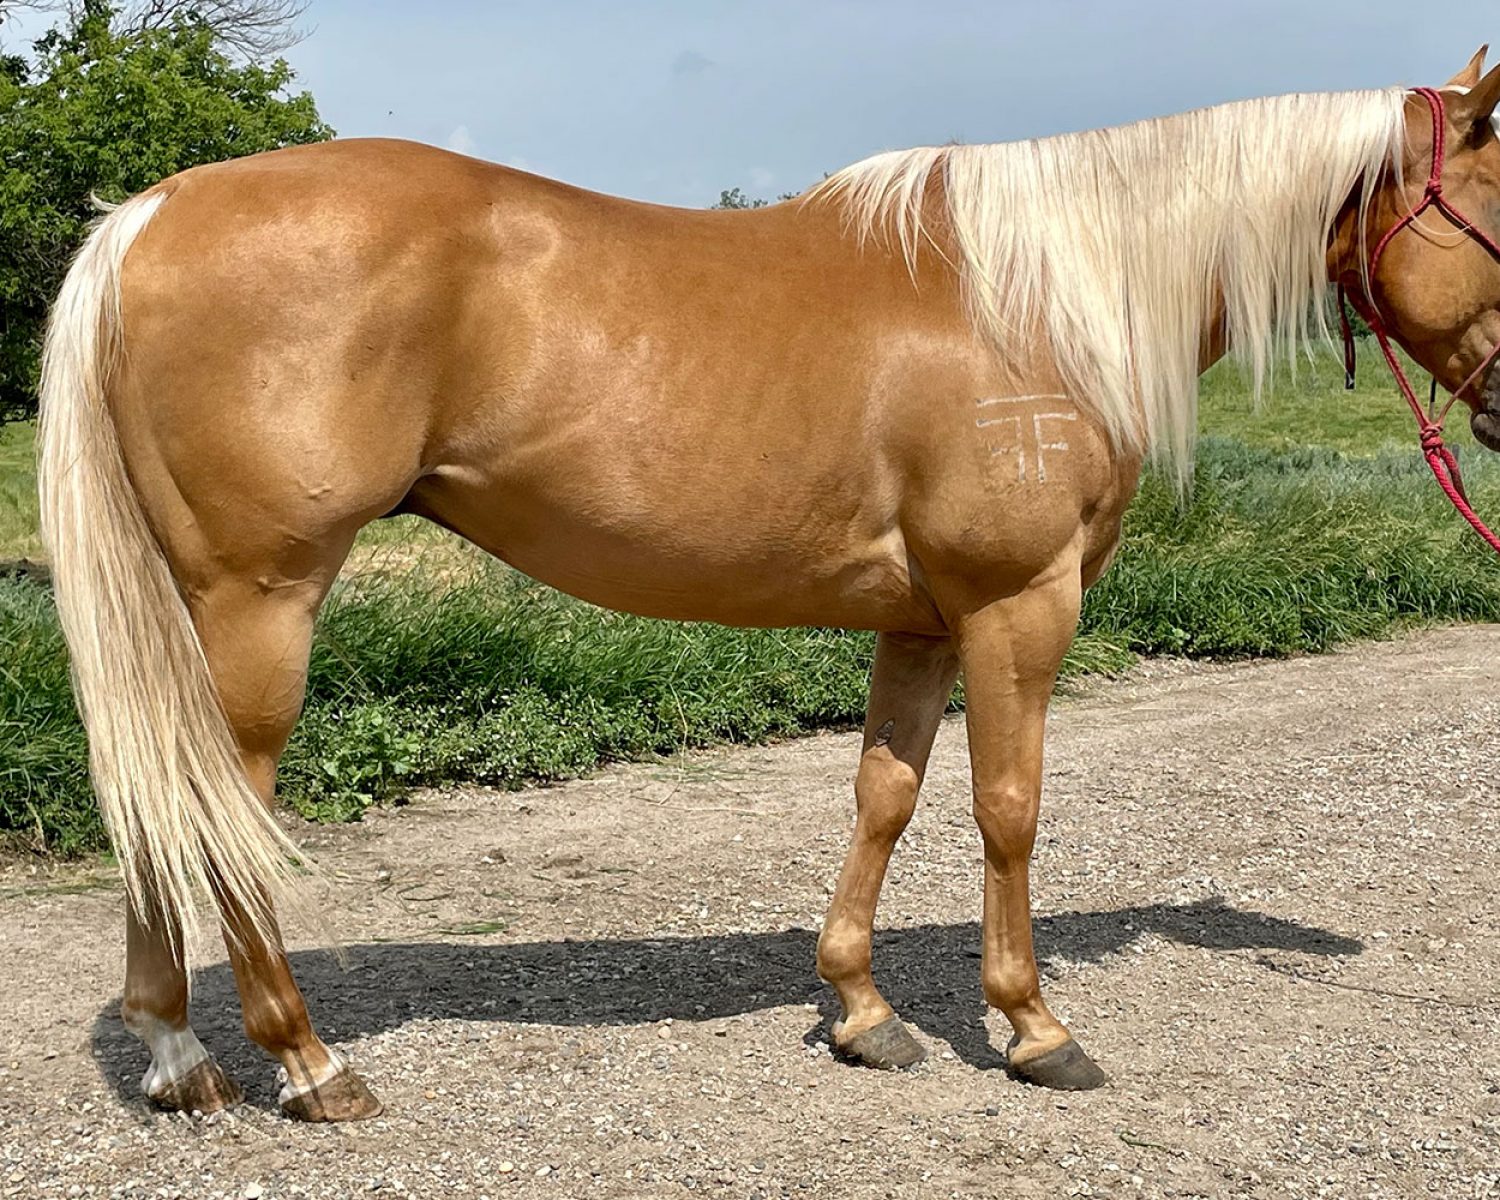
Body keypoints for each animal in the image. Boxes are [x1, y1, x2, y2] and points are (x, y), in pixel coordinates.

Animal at [36, 47, 1500, 1121]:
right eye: (1499, 210)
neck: (1043, 298)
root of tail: (153, 212)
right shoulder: (1018, 605)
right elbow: (1010, 809)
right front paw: (1033, 1029)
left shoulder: (923, 619)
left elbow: (887, 795)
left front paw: (861, 1011)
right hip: (263, 600)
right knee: (220, 811)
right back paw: (307, 1062)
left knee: (160, 798)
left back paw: (177, 1057)